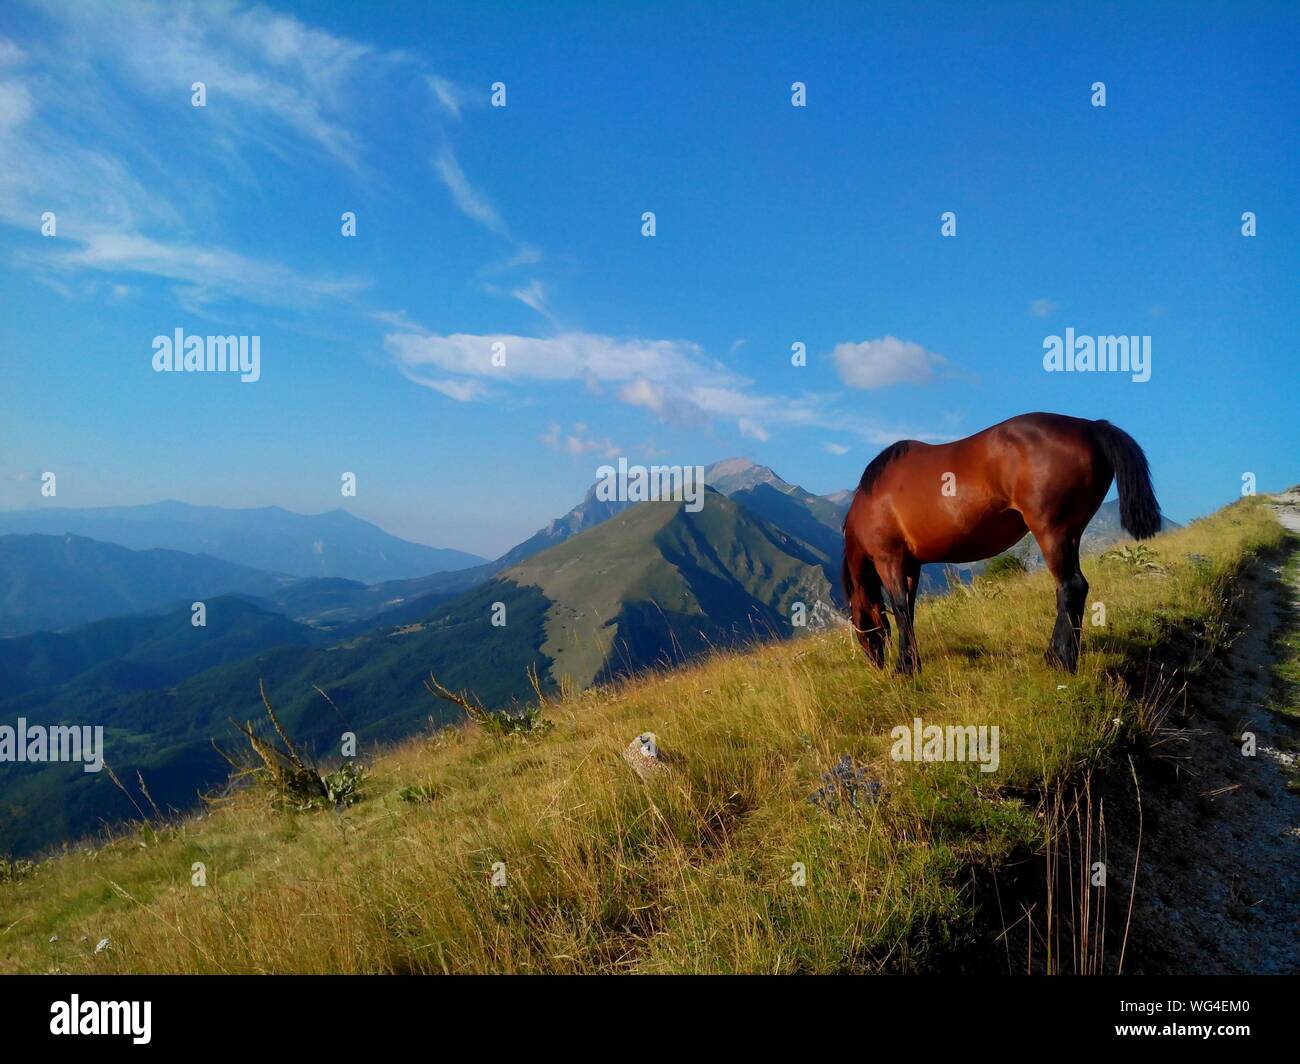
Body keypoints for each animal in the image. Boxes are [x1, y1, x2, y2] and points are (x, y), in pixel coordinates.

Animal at [841, 412, 1160, 674]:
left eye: (858, 625)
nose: (876, 663)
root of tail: (1090, 426)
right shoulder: (912, 565)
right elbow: (908, 608)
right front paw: (911, 662)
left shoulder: (889, 559)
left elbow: (899, 609)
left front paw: (905, 667)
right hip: (1070, 534)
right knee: (1067, 591)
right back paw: (1055, 656)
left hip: (1051, 532)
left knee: (1072, 586)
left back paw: (1061, 661)